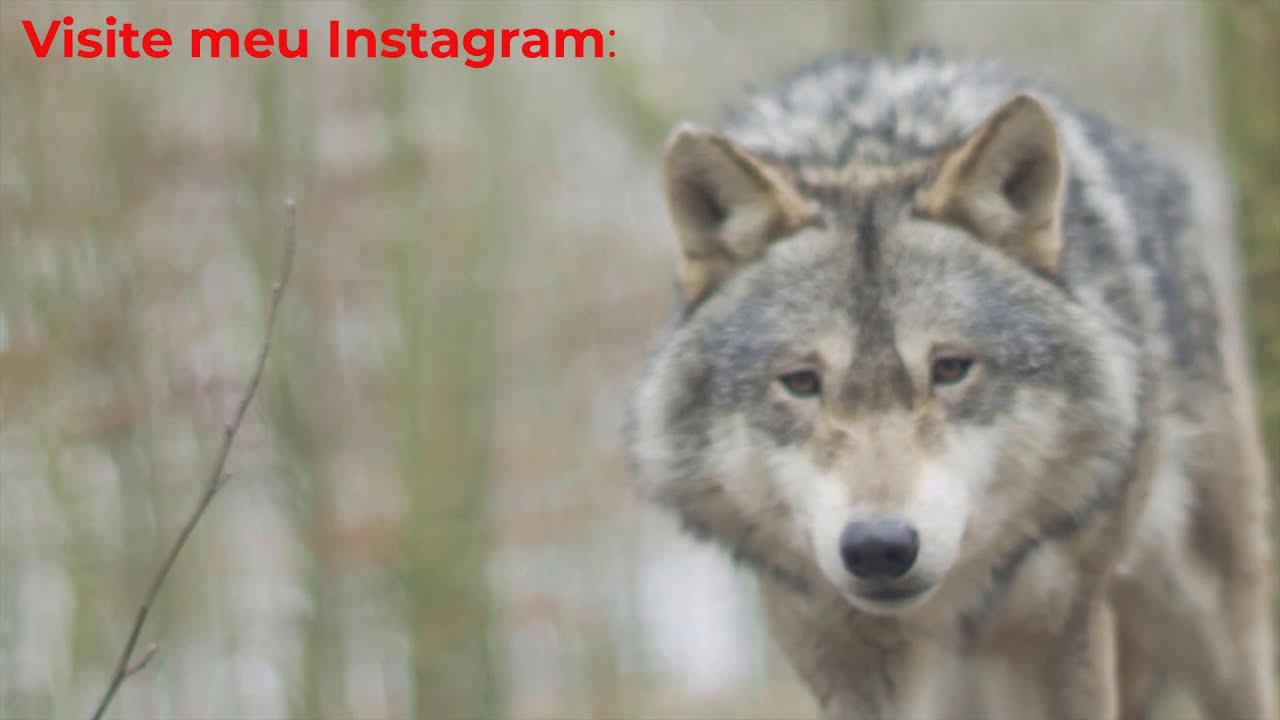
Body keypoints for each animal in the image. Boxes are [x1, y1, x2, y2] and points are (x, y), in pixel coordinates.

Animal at [625, 53, 1274, 720]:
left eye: (950, 369)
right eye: (801, 382)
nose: (879, 546)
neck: (868, 150)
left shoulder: (1062, 629)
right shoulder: (839, 654)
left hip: (1208, 621)